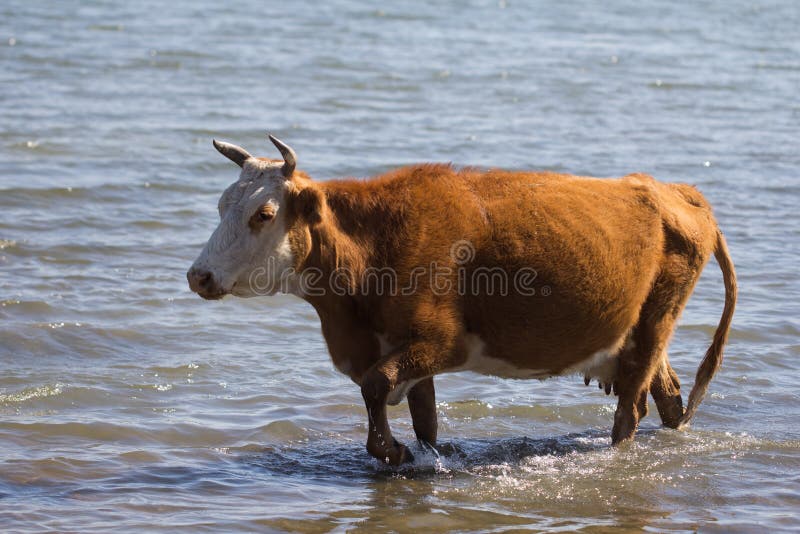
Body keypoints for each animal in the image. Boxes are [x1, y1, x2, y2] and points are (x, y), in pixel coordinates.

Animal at [188, 135, 737, 465]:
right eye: (221, 204)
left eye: (263, 214)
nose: (199, 275)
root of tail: (675, 191)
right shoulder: (410, 351)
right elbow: (422, 417)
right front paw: (414, 454)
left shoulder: (443, 343)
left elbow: (374, 385)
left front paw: (391, 451)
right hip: (638, 335)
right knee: (666, 396)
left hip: (654, 325)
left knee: (629, 412)